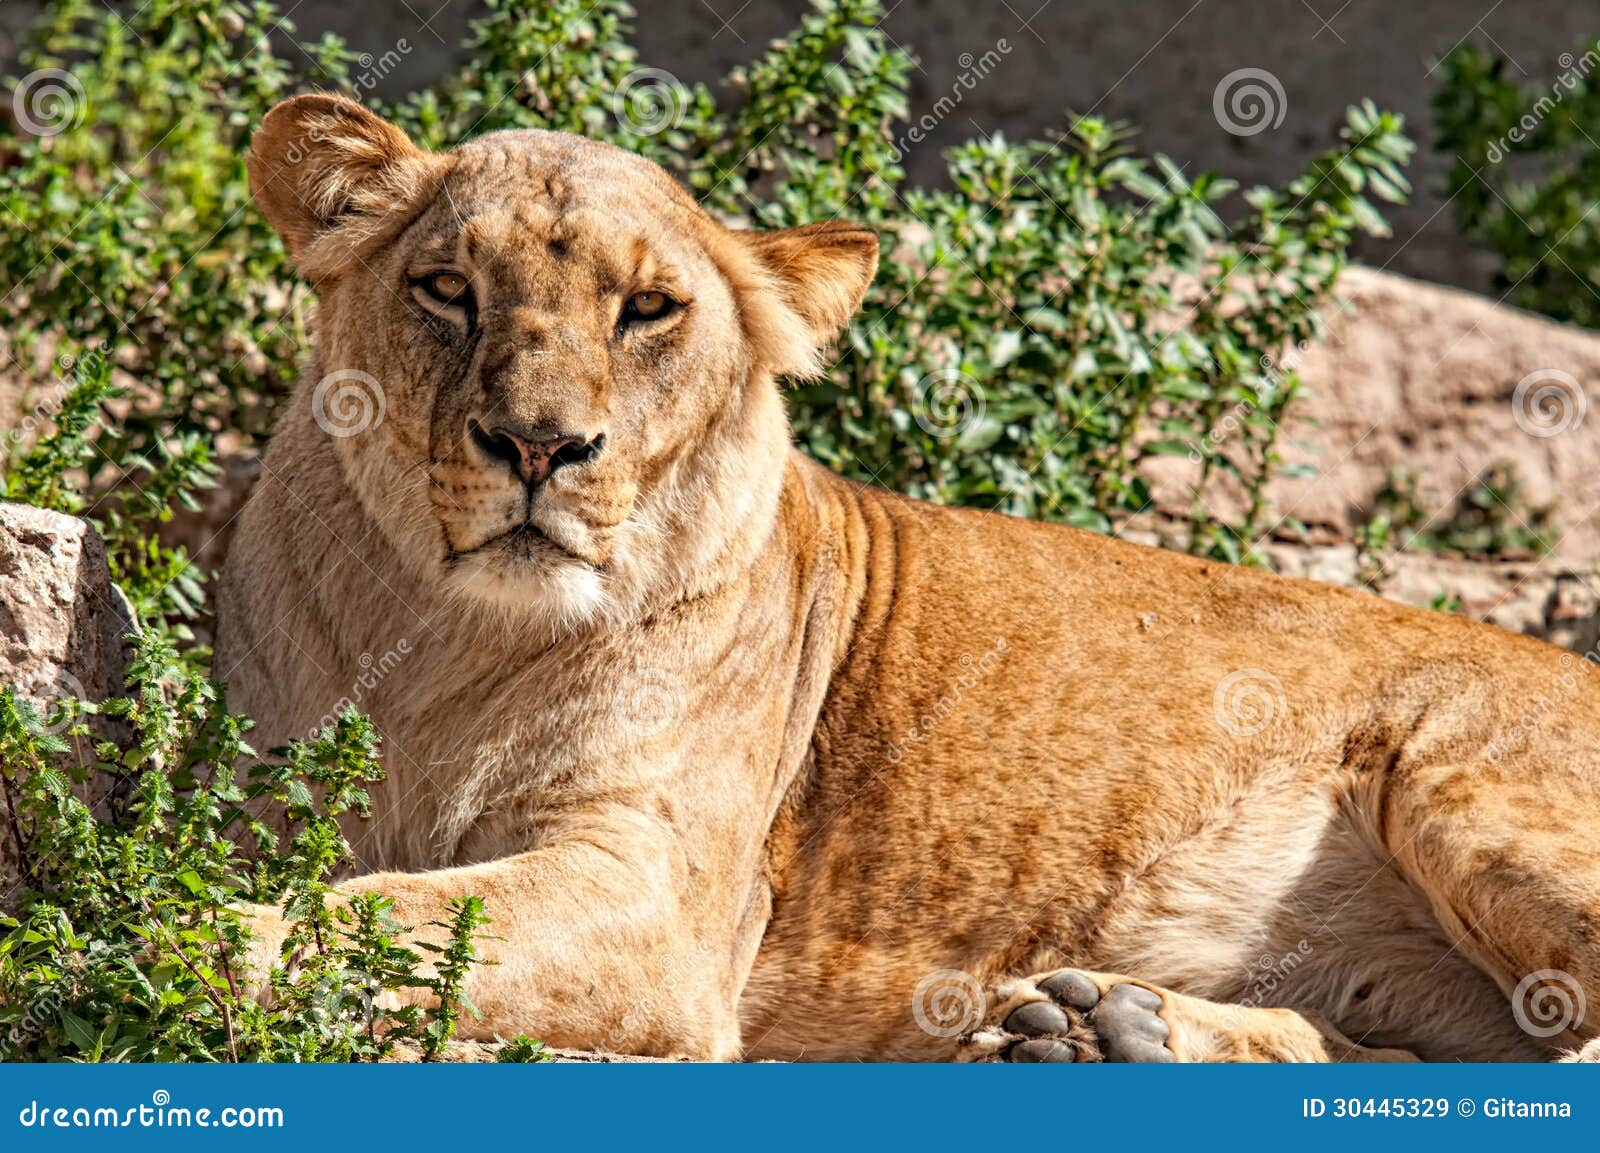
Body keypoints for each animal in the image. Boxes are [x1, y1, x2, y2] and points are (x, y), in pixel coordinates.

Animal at [217, 93, 1600, 1063]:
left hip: (1461, 782)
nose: (538, 445)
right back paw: (1104, 1030)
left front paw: (178, 935)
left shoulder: (658, 901)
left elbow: (364, 917)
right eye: (446, 290)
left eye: (649, 310)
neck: (455, 642)